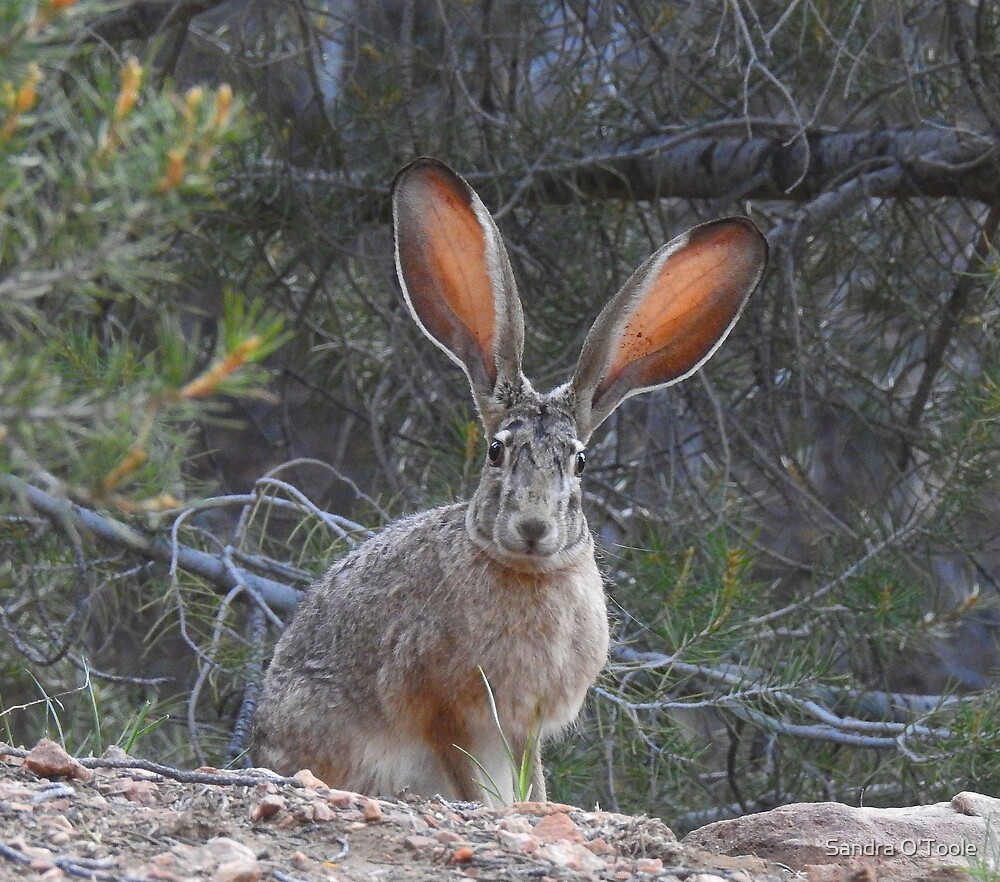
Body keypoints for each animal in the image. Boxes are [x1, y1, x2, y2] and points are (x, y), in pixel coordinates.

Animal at [252, 157, 768, 806]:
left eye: (580, 462)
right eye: (496, 451)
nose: (532, 527)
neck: (528, 573)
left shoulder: (526, 723)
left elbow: (533, 780)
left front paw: (540, 807)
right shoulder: (442, 705)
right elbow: (467, 776)